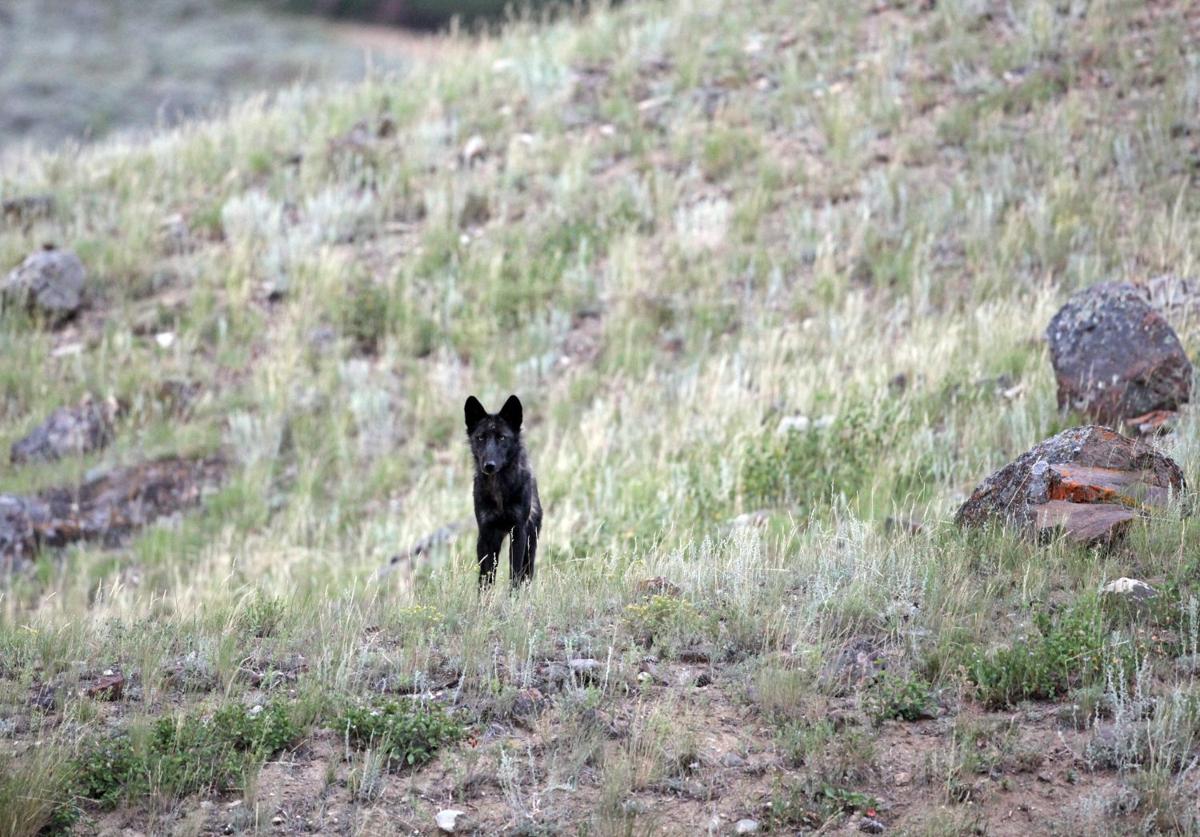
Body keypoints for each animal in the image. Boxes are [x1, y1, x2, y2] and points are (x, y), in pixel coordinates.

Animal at [464, 394, 542, 588]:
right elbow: (486, 578)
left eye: (501, 438)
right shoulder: (487, 533)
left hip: (530, 543)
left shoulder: (518, 531)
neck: (499, 490)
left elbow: (515, 575)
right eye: (480, 438)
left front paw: (513, 596)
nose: (489, 466)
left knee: (526, 575)